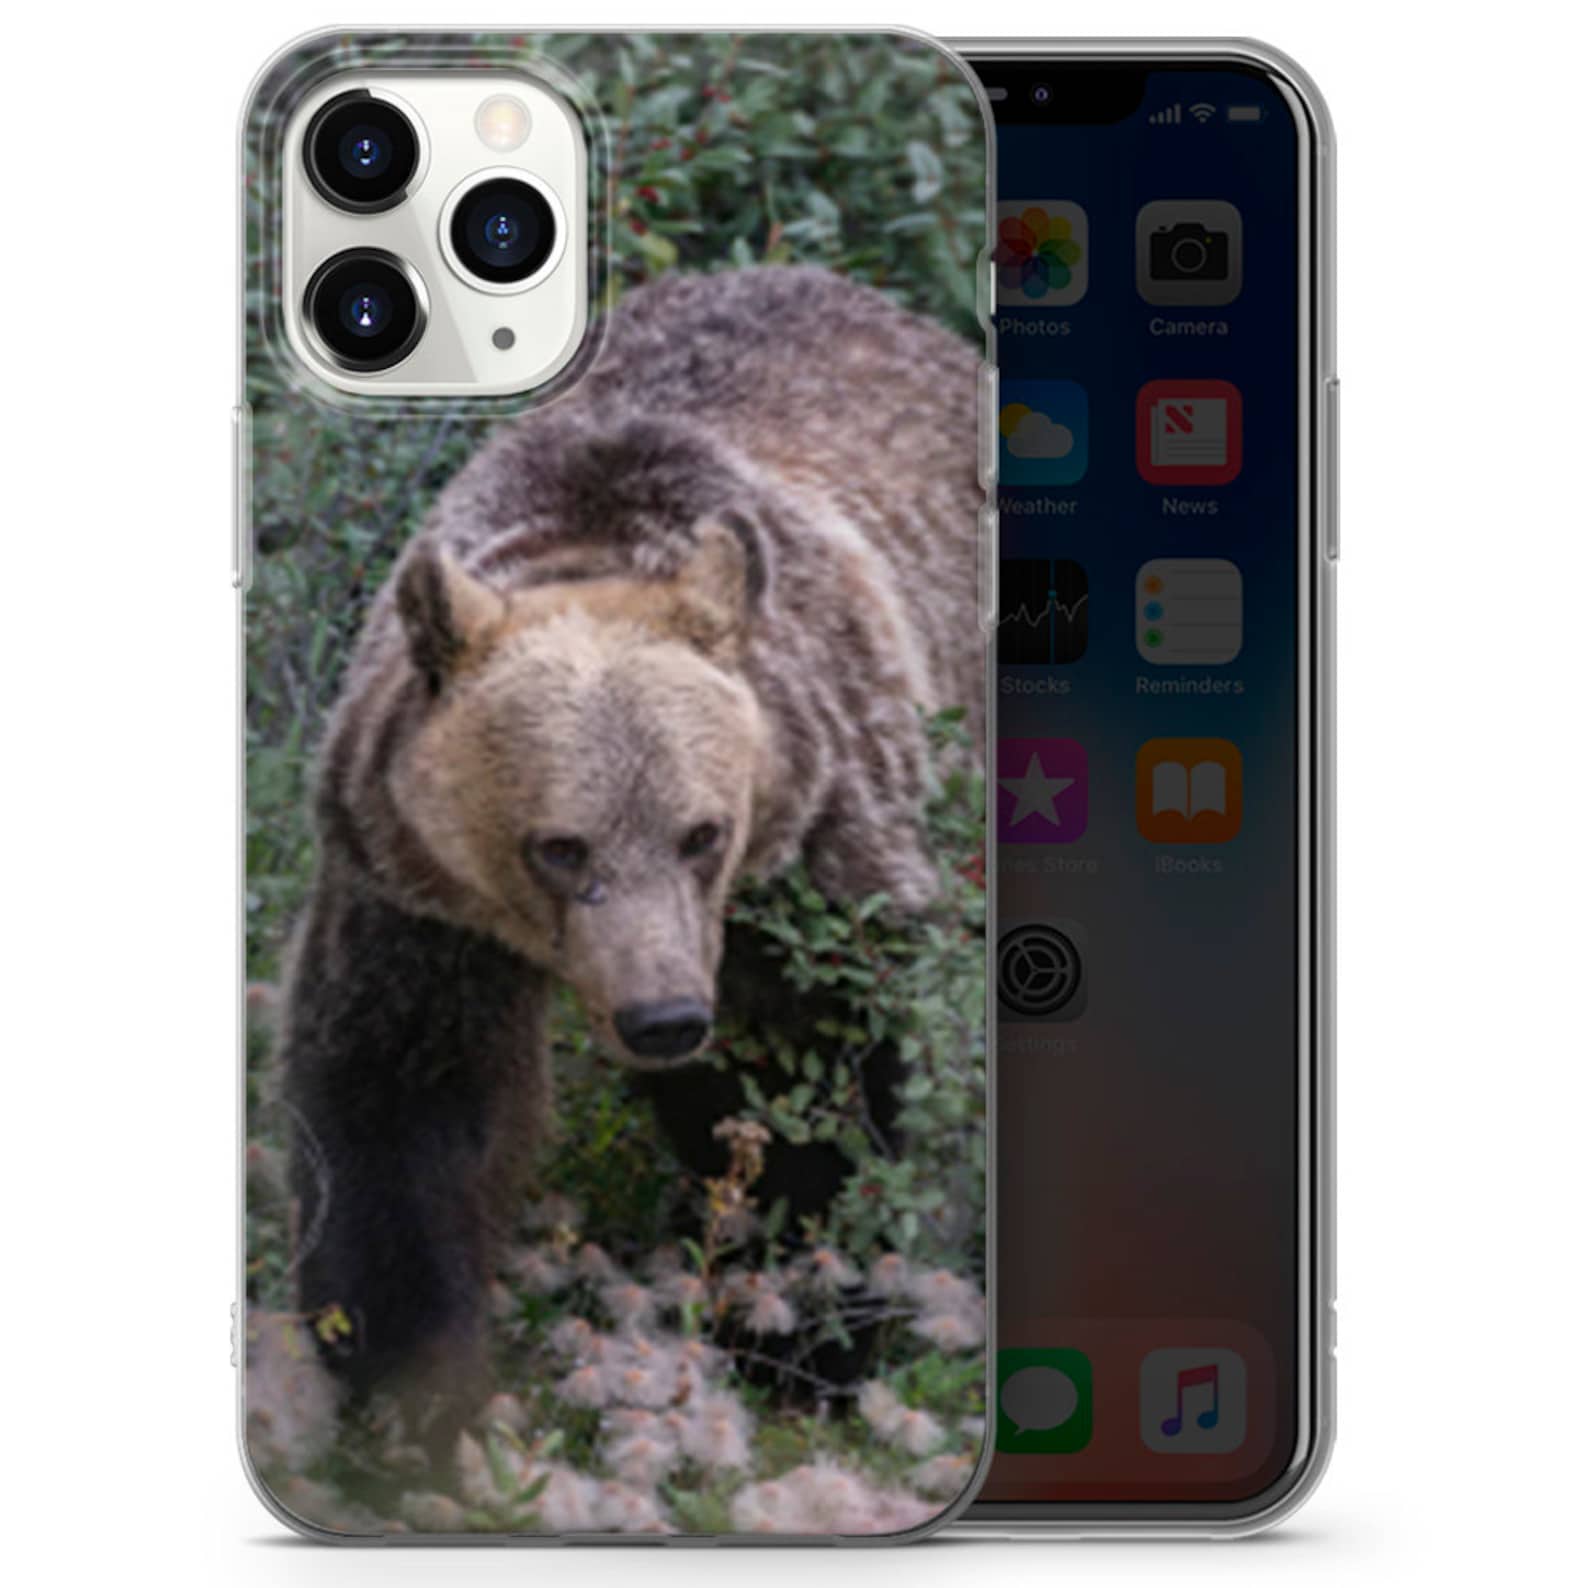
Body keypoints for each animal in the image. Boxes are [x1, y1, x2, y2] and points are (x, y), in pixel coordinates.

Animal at [277, 265, 984, 1433]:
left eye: (703, 833)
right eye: (560, 848)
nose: (664, 1018)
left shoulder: (811, 859)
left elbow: (810, 1097)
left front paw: (808, 1341)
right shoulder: (414, 892)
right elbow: (404, 1105)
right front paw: (411, 1379)